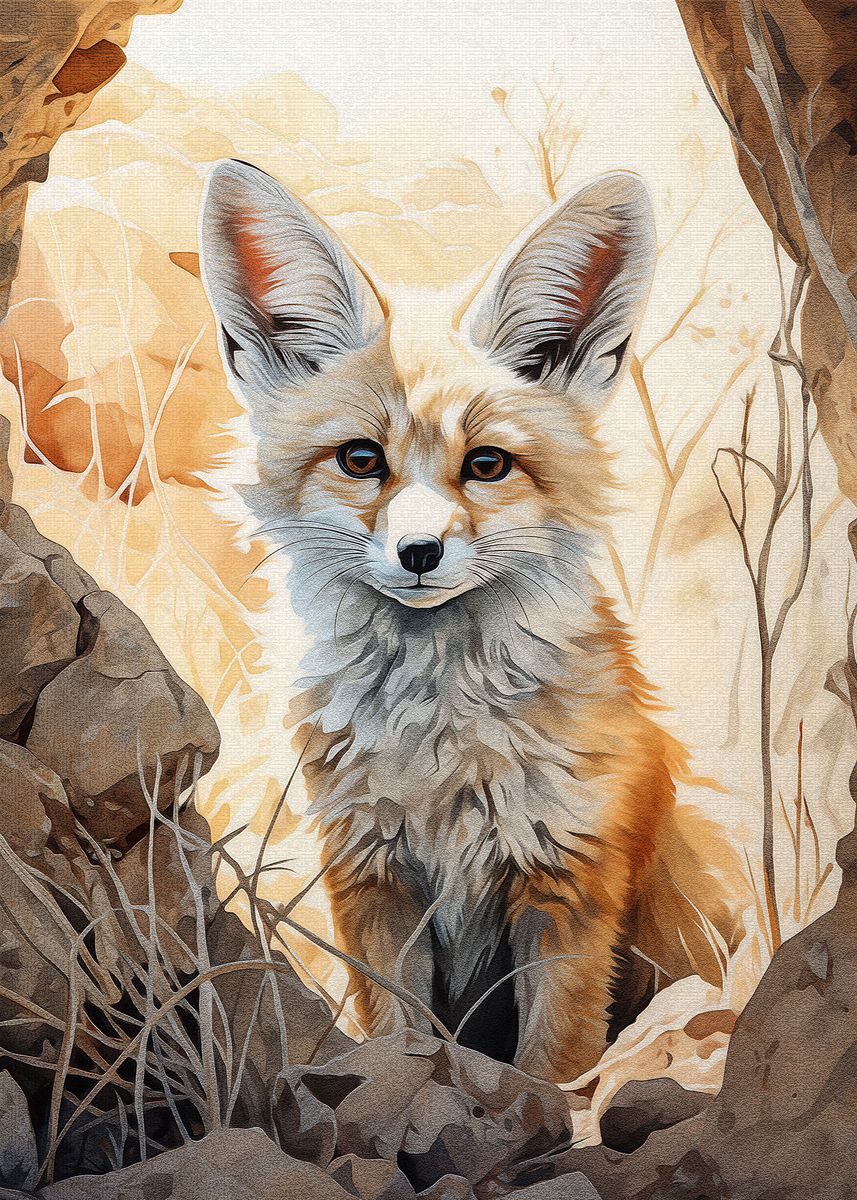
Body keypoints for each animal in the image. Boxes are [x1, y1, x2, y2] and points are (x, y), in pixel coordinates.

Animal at [199, 158, 743, 1082]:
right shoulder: (373, 879)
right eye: (360, 459)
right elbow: (399, 1033)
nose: (419, 551)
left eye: (486, 465)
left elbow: (554, 1060)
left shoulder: (568, 885)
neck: (438, 747)